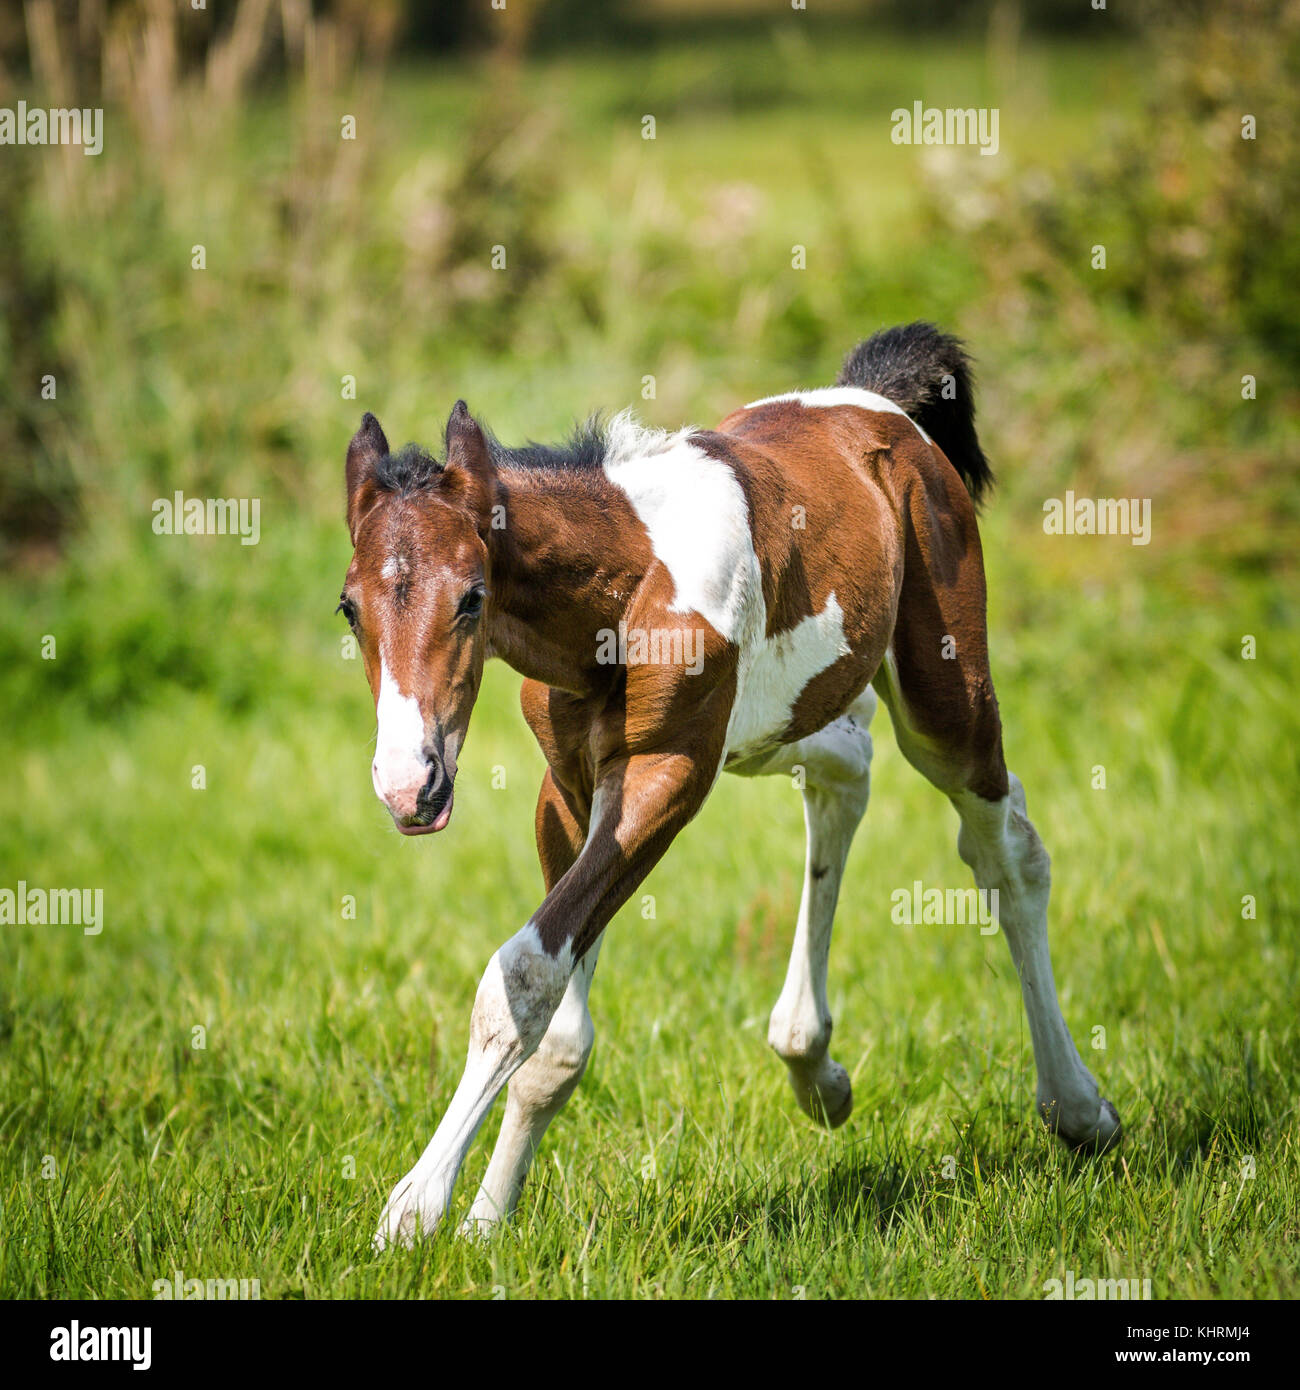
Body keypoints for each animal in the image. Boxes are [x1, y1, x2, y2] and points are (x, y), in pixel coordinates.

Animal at [337, 321, 1122, 1248]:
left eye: (471, 596)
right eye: (350, 608)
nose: (407, 785)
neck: (624, 587)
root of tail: (879, 402)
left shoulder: (667, 777)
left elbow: (522, 976)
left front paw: (416, 1206)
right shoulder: (567, 790)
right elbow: (553, 1022)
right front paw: (489, 1221)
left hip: (944, 701)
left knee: (1006, 851)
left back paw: (1077, 1109)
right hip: (777, 719)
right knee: (845, 772)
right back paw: (813, 1063)